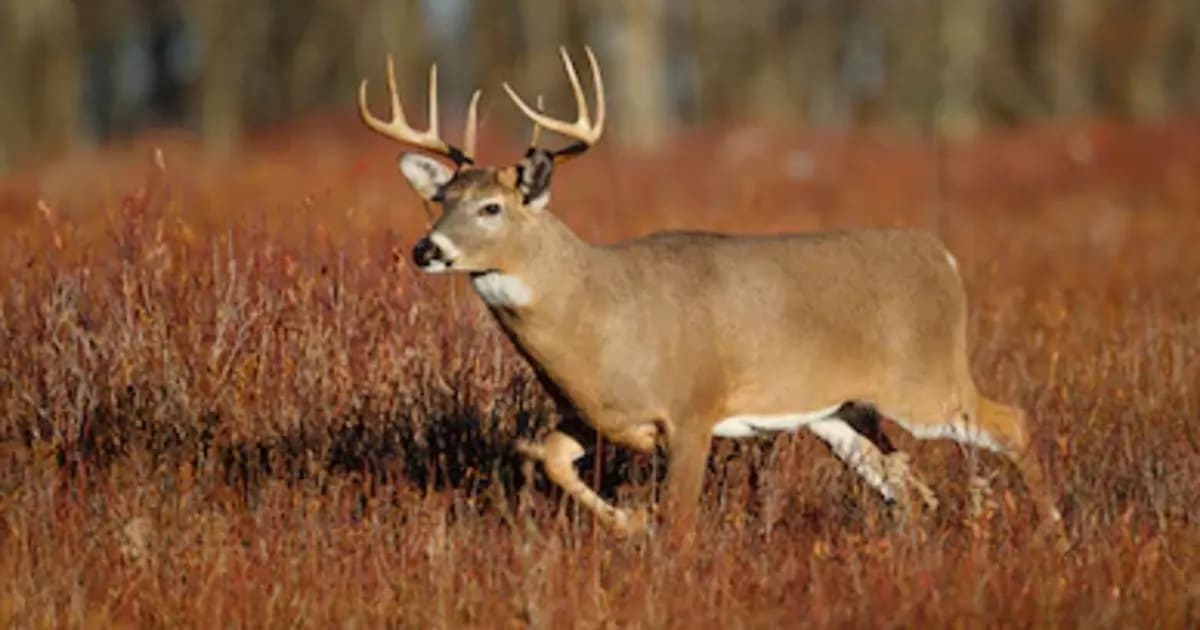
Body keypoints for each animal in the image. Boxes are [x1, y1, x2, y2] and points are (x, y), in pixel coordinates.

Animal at [358, 47, 1065, 542]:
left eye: (492, 207)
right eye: (441, 200)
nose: (426, 250)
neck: (598, 313)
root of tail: (942, 256)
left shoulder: (694, 408)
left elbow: (681, 522)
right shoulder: (589, 412)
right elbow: (544, 456)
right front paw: (629, 523)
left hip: (925, 380)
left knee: (1012, 422)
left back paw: (1053, 534)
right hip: (841, 411)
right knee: (906, 481)